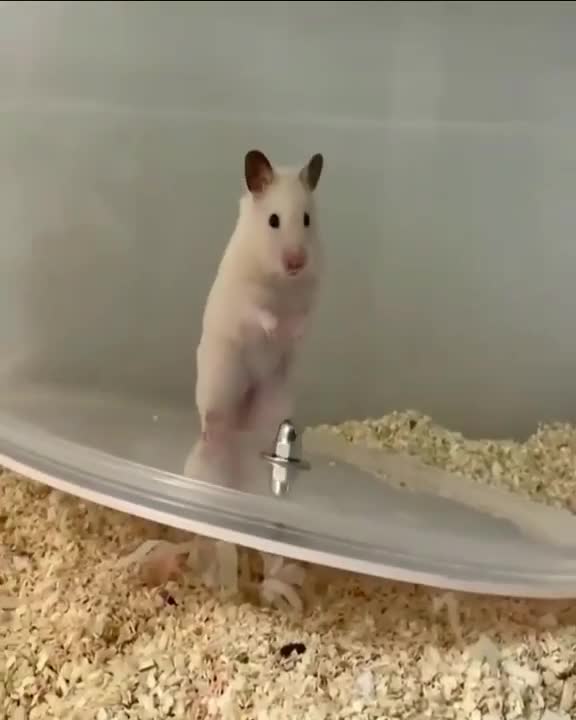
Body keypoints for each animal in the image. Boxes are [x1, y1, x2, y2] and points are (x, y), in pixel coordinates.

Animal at [194, 148, 325, 466]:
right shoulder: (244, 296)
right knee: (211, 415)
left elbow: (303, 318)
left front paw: (292, 334)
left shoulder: (311, 295)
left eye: (307, 219)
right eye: (273, 220)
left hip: (275, 401)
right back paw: (210, 438)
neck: (282, 280)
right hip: (219, 381)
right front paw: (275, 331)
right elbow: (260, 312)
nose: (296, 262)